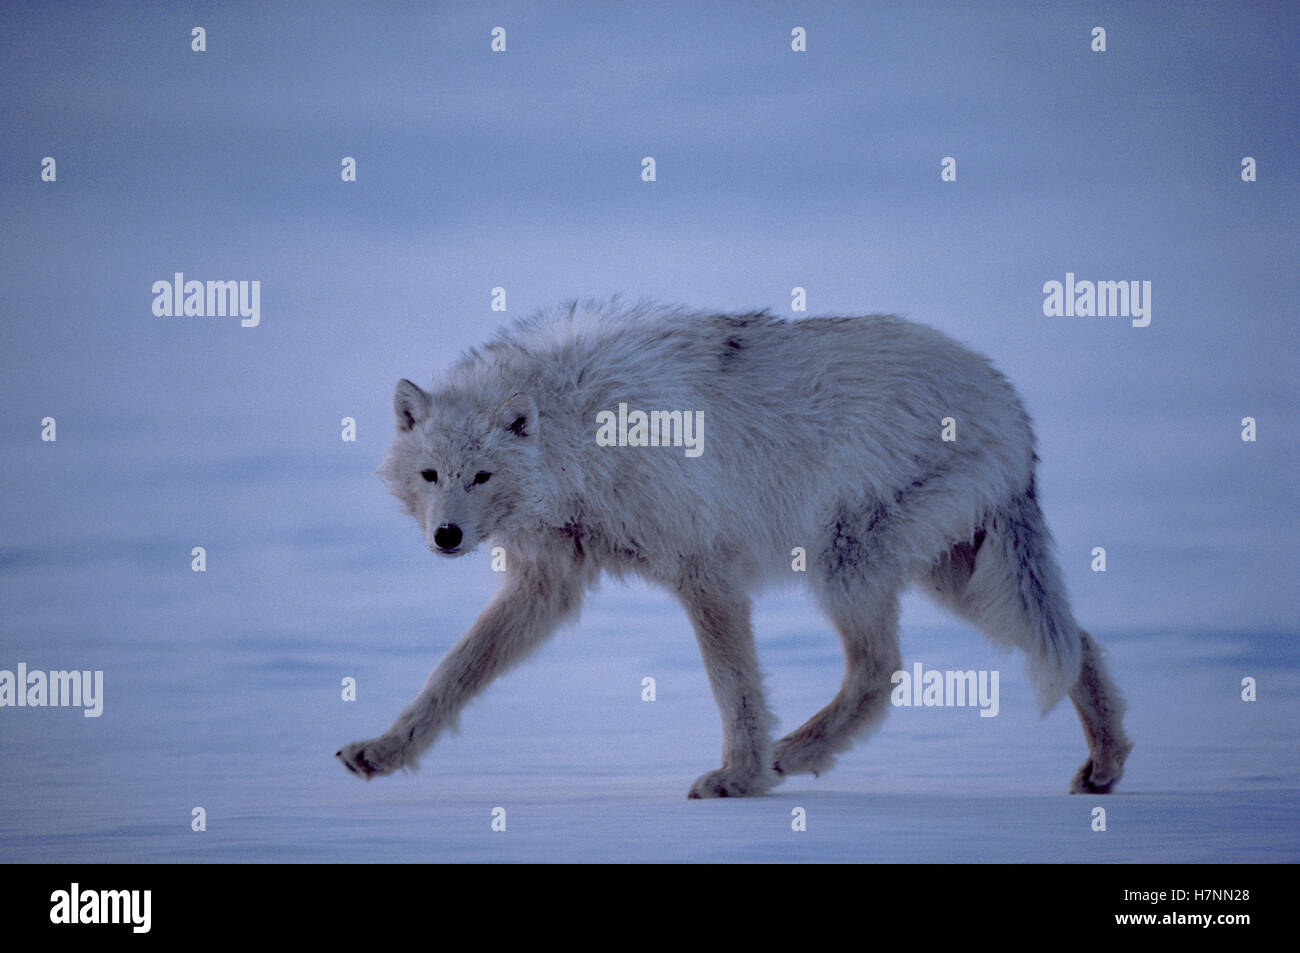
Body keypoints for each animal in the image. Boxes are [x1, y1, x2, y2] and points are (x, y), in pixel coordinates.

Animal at [337, 301, 1132, 797]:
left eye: (481, 476)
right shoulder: (547, 587)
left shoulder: (706, 574)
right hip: (952, 578)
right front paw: (382, 751)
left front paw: (739, 778)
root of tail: (1011, 402)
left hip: (849, 566)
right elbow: (453, 673)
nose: (446, 536)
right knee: (1080, 642)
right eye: (431, 476)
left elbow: (734, 687)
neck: (582, 431)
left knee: (881, 672)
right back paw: (1104, 767)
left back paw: (793, 754)